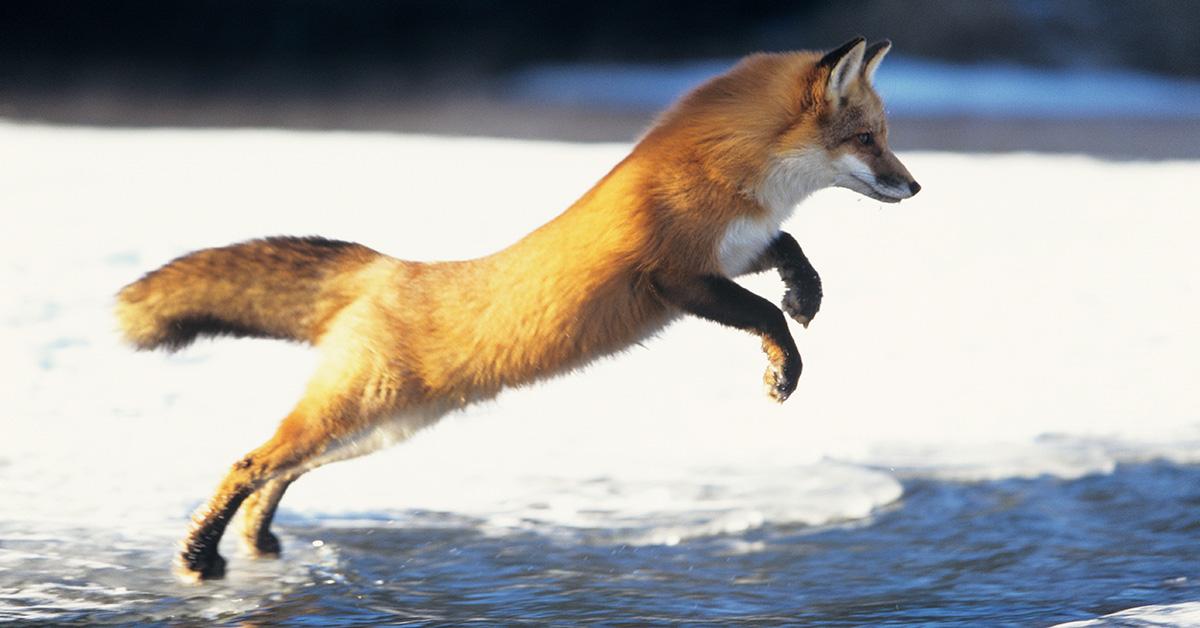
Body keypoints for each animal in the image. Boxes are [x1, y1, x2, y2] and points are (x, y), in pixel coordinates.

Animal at [116, 37, 919, 581]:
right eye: (868, 139)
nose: (915, 188)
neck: (730, 168)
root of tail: (387, 270)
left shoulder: (733, 251)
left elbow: (791, 253)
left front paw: (806, 295)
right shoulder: (676, 277)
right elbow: (767, 317)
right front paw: (783, 371)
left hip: (377, 430)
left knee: (276, 475)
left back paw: (256, 545)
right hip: (356, 412)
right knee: (248, 463)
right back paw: (197, 557)